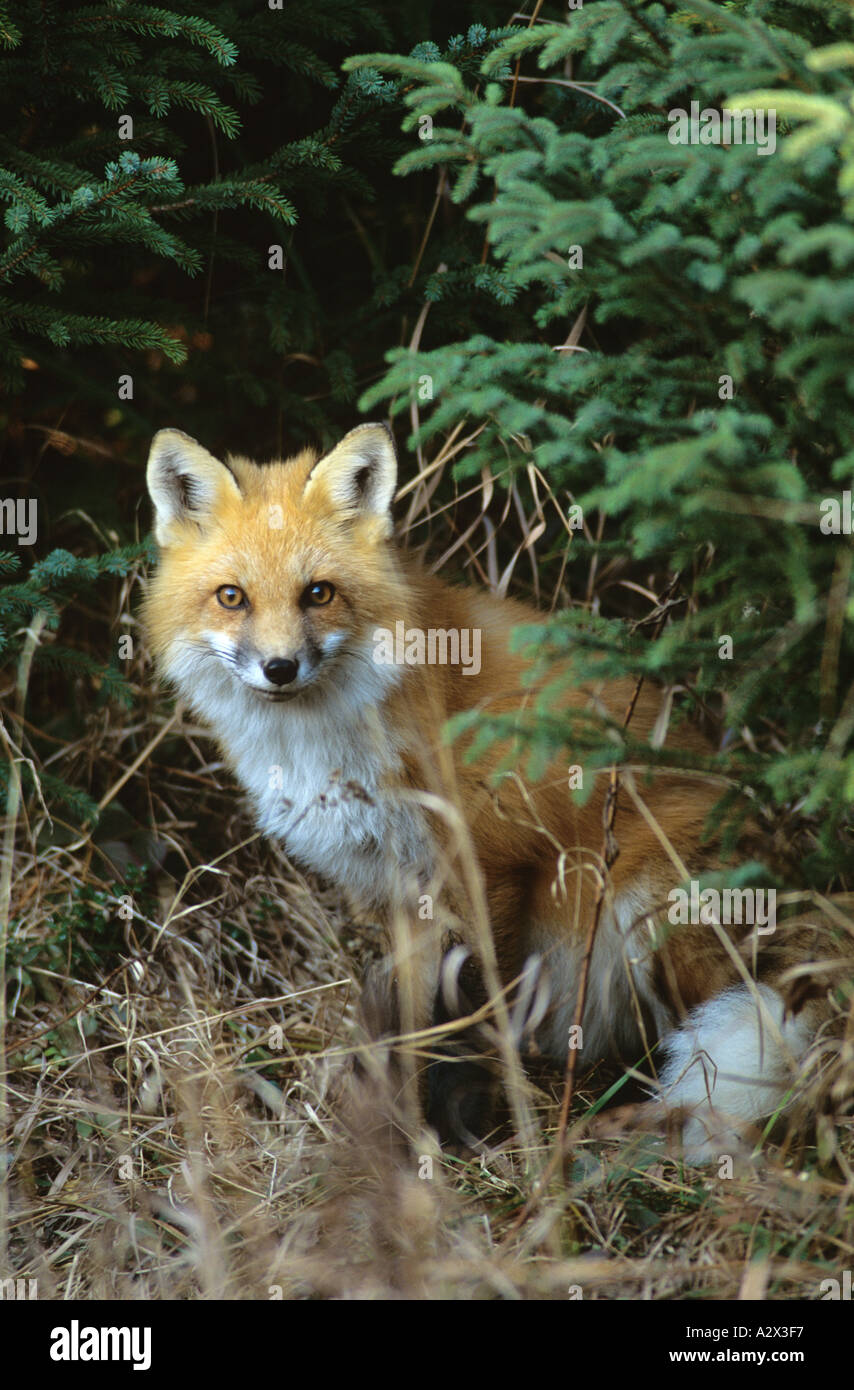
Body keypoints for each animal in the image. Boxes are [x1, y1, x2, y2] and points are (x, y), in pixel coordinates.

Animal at [143, 421, 845, 1160]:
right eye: (232, 596)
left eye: (318, 593)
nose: (280, 668)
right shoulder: (398, 891)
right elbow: (410, 1027)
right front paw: (401, 1137)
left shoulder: (491, 868)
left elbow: (472, 1020)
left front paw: (469, 1128)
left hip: (641, 912)